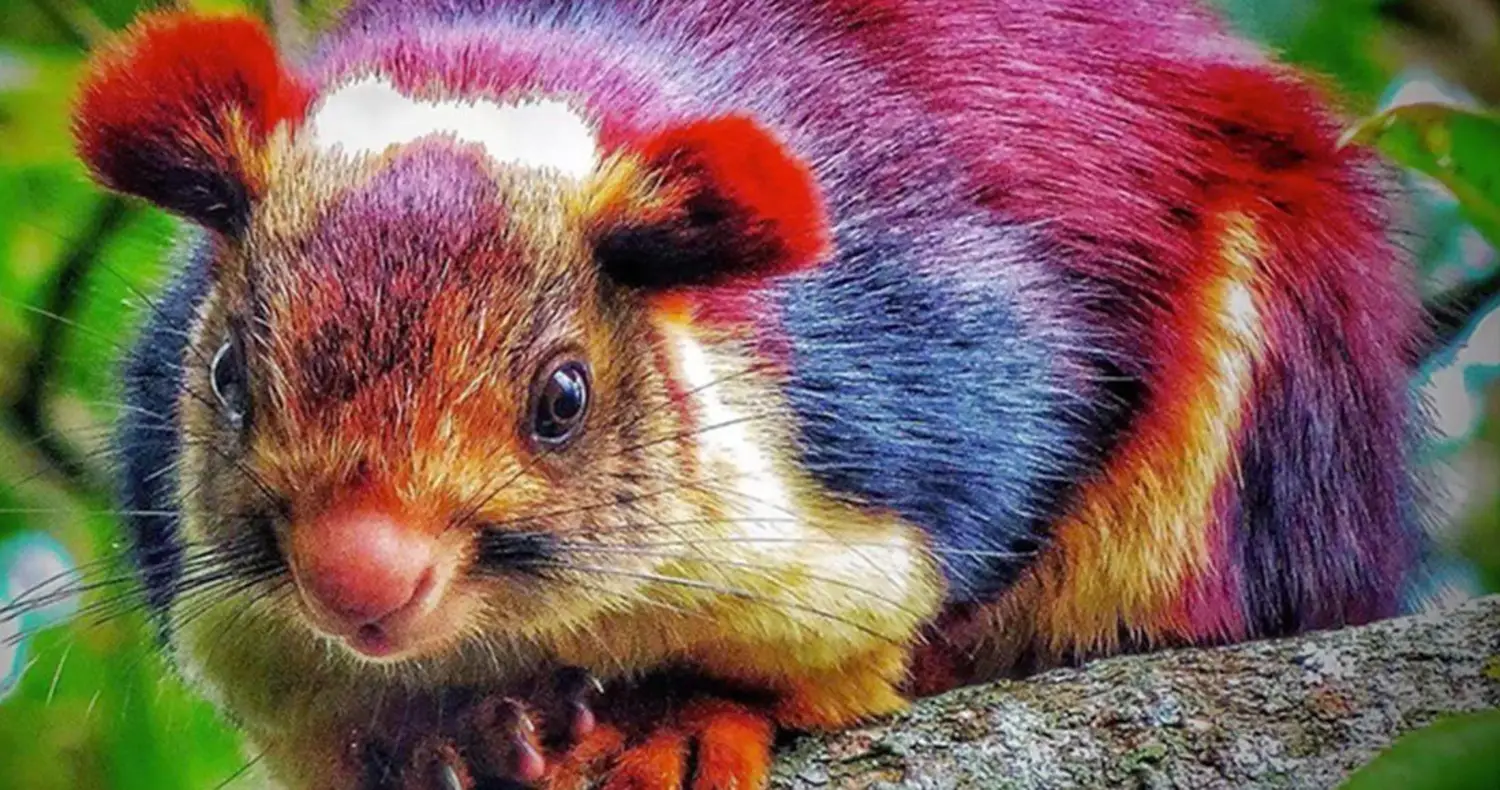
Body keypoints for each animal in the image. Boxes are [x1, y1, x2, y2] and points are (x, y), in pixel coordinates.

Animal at [65, 1, 1436, 788]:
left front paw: (684, 717)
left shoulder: (925, 396)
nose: (360, 578)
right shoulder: (232, 619)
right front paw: (447, 738)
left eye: (563, 397)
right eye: (228, 373)